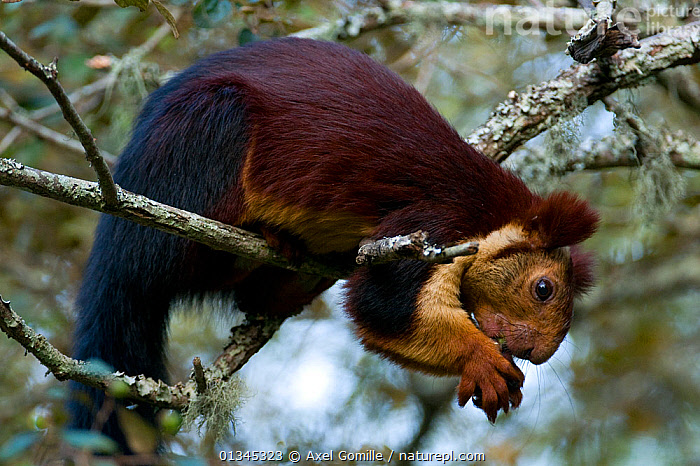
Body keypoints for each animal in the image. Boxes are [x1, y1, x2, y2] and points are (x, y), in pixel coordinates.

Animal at [69, 37, 598, 451]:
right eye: (544, 288)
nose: (539, 355)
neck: (490, 213)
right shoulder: (435, 225)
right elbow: (384, 307)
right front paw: (483, 360)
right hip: (204, 141)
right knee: (173, 261)